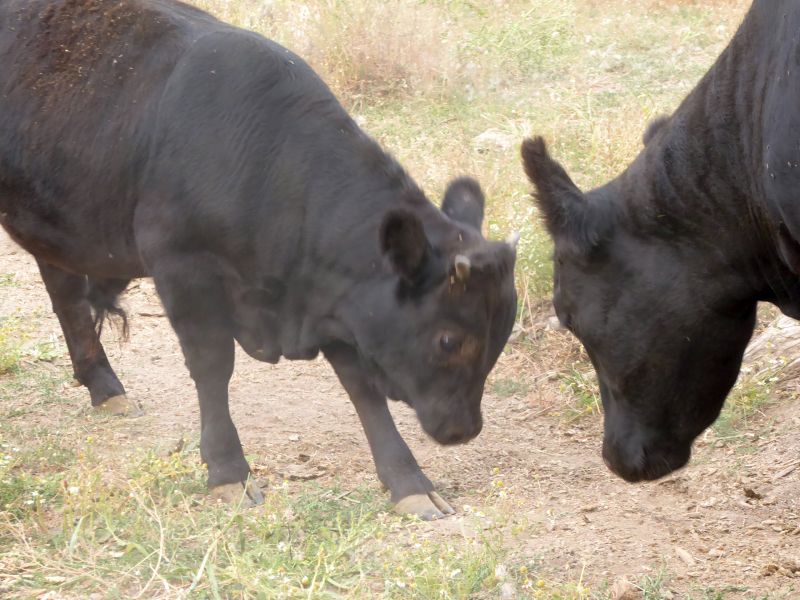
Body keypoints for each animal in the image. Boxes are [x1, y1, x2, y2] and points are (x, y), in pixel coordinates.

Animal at [0, 0, 518, 519]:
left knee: (65, 292)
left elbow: (361, 386)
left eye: (501, 334)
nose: (464, 429)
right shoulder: (184, 268)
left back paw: (104, 386)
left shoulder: (333, 296)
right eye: (448, 339)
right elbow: (213, 367)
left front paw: (408, 481)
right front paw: (229, 472)